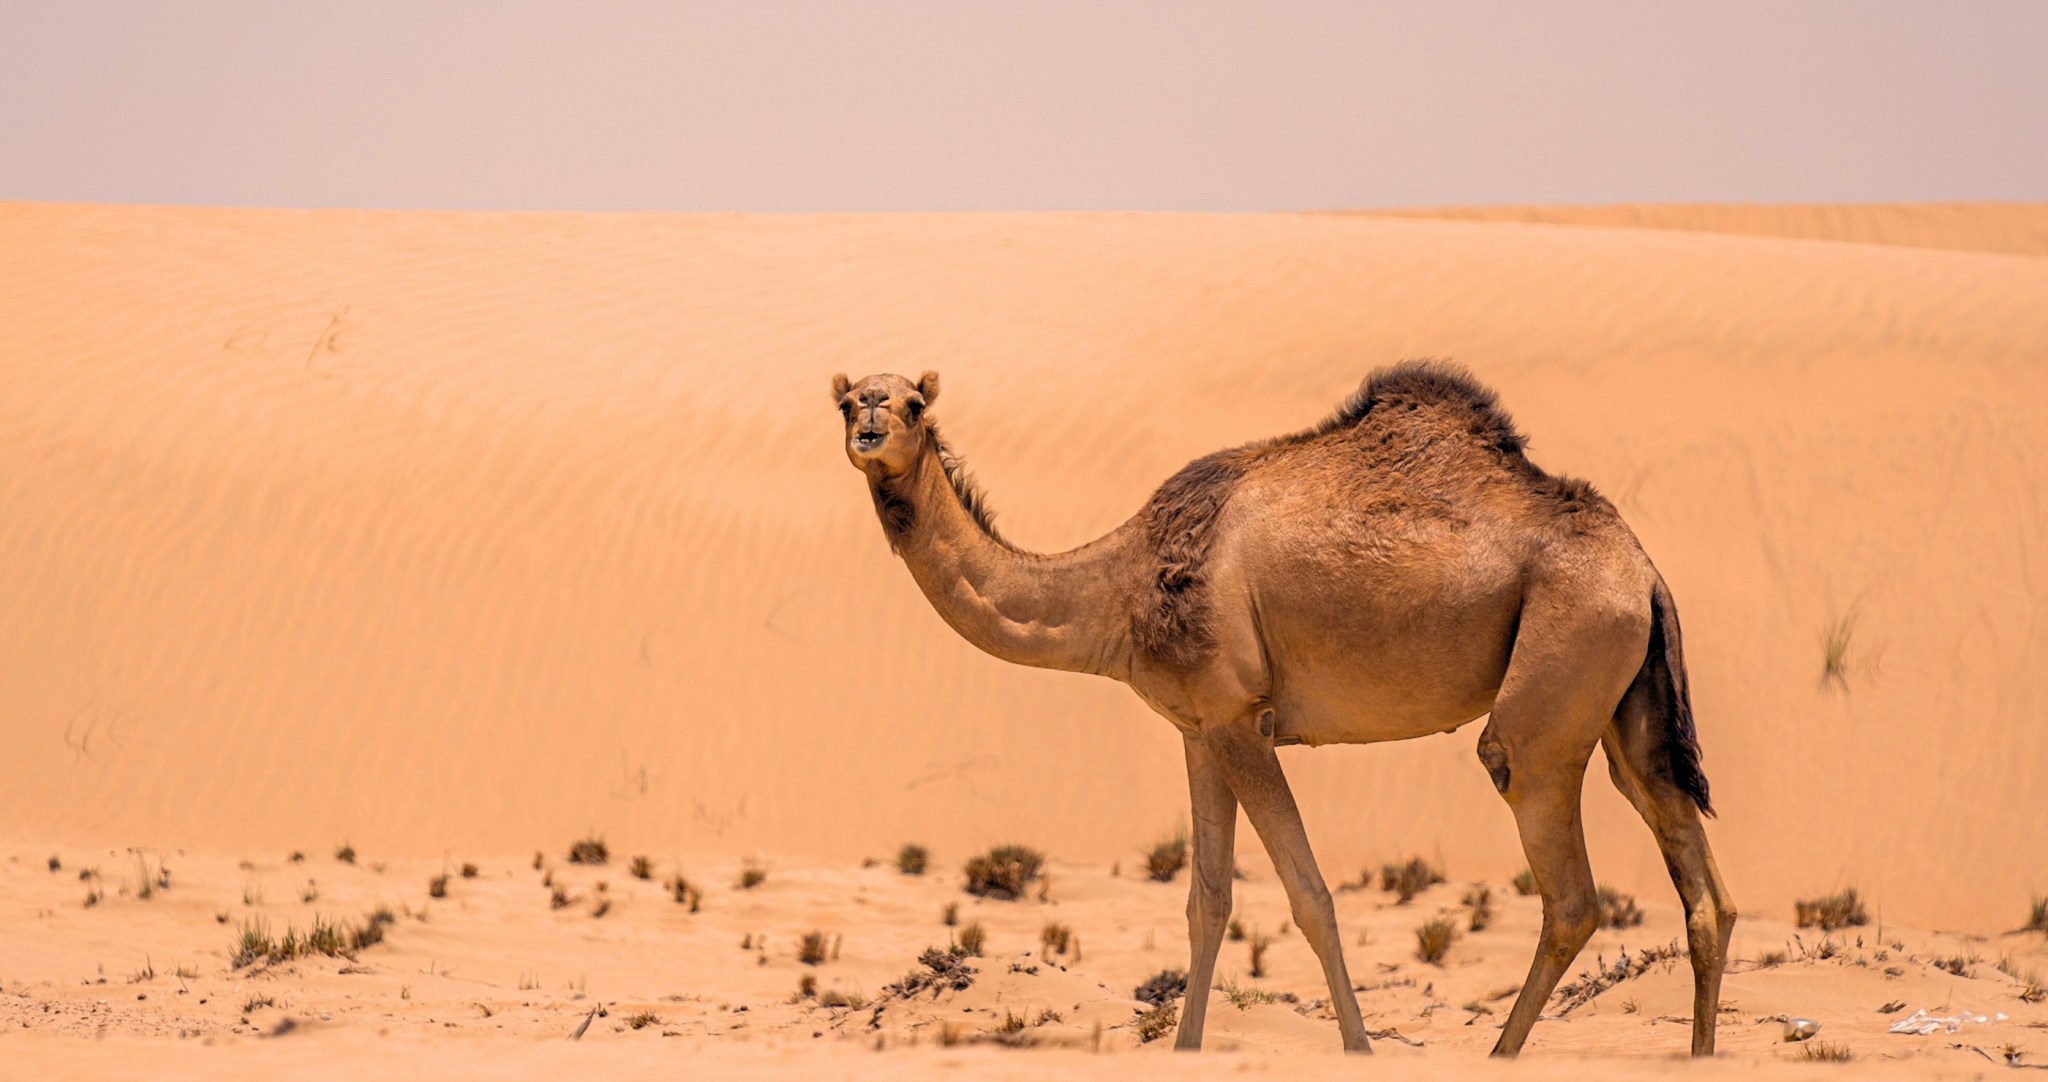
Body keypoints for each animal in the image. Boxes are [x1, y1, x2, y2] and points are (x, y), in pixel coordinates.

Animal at [830, 361, 1734, 1057]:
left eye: (913, 404)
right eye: (848, 401)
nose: (870, 417)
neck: (1116, 590)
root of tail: (1644, 570)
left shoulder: (1240, 720)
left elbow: (1310, 897)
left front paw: (1360, 1049)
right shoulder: (1196, 729)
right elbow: (1207, 903)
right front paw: (1188, 1051)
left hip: (1557, 677)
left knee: (1566, 883)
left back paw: (1500, 1055)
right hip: (1626, 701)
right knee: (1697, 879)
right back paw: (1698, 1054)